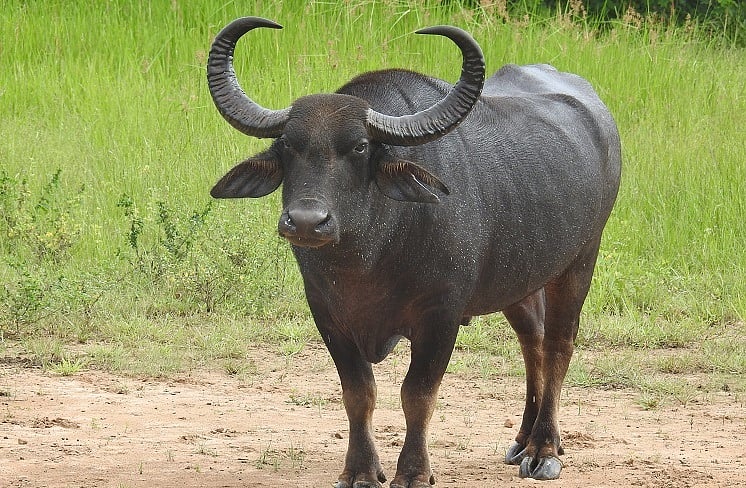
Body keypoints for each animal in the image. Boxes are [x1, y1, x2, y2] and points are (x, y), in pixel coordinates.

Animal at [207, 17, 621, 486]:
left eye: (359, 146)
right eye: (288, 146)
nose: (308, 221)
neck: (370, 257)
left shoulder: (440, 316)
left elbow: (417, 394)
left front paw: (414, 472)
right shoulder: (328, 315)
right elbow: (358, 393)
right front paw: (361, 470)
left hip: (580, 261)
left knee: (558, 344)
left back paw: (544, 449)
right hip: (520, 279)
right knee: (531, 340)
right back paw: (522, 440)